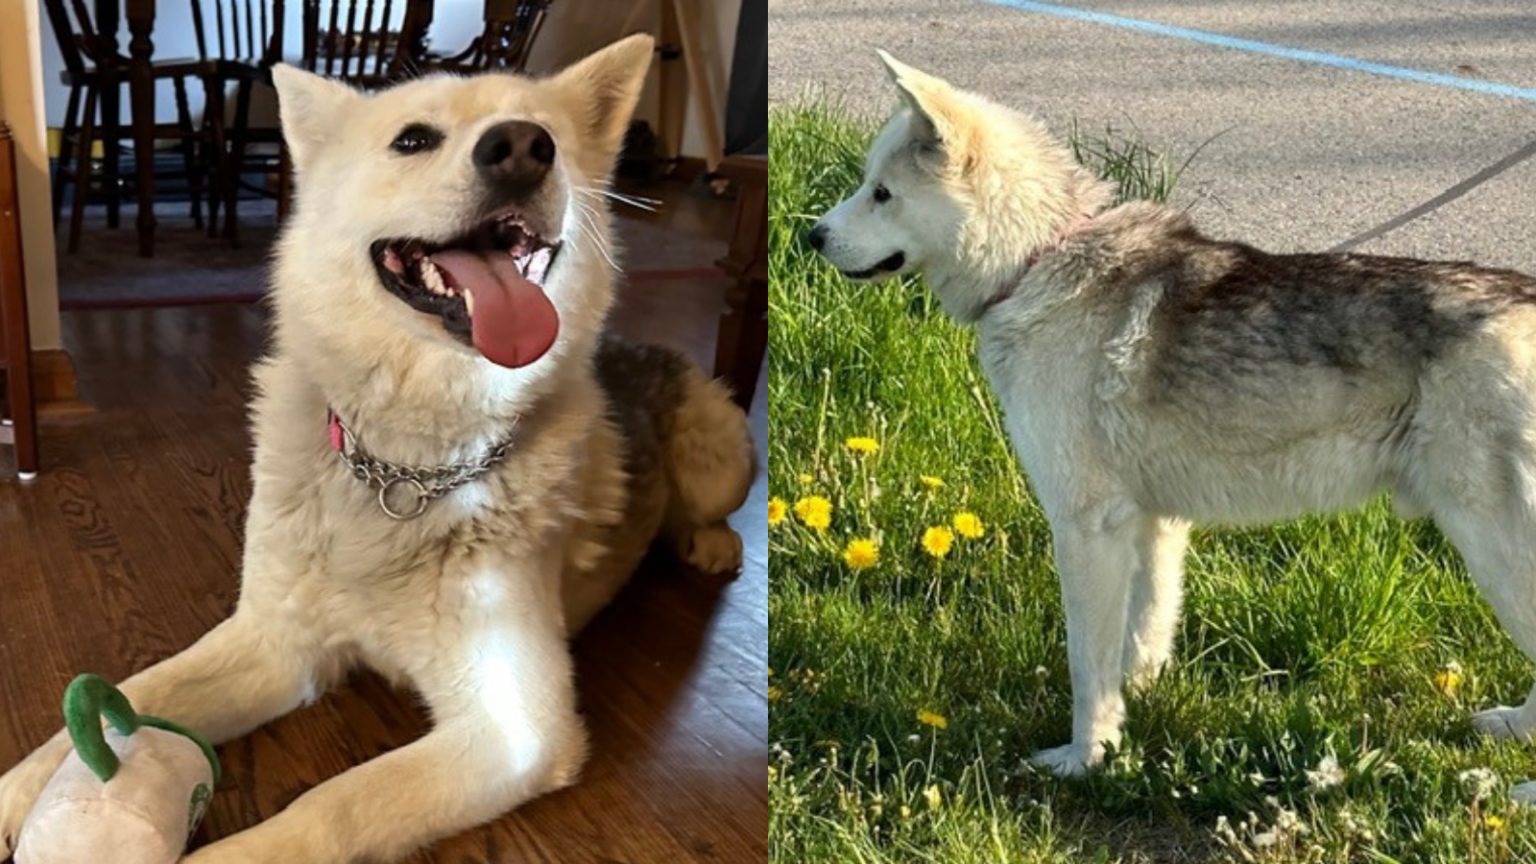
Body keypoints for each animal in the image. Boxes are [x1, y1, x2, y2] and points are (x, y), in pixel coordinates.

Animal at [0, 35, 756, 863]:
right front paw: (24, 783)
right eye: (413, 140)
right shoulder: (274, 643)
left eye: (545, 135)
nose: (525, 148)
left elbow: (332, 806)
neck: (406, 468)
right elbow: (137, 690)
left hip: (724, 455)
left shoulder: (512, 731)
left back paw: (709, 541)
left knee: (709, 506)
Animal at [810, 51, 1536, 799]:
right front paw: (1135, 709)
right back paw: (1514, 726)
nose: (812, 236)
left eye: (881, 194)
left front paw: (1086, 757)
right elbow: (1140, 639)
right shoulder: (1156, 526)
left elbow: (1086, 666)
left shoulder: (1087, 528)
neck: (1040, 259)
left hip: (1494, 549)